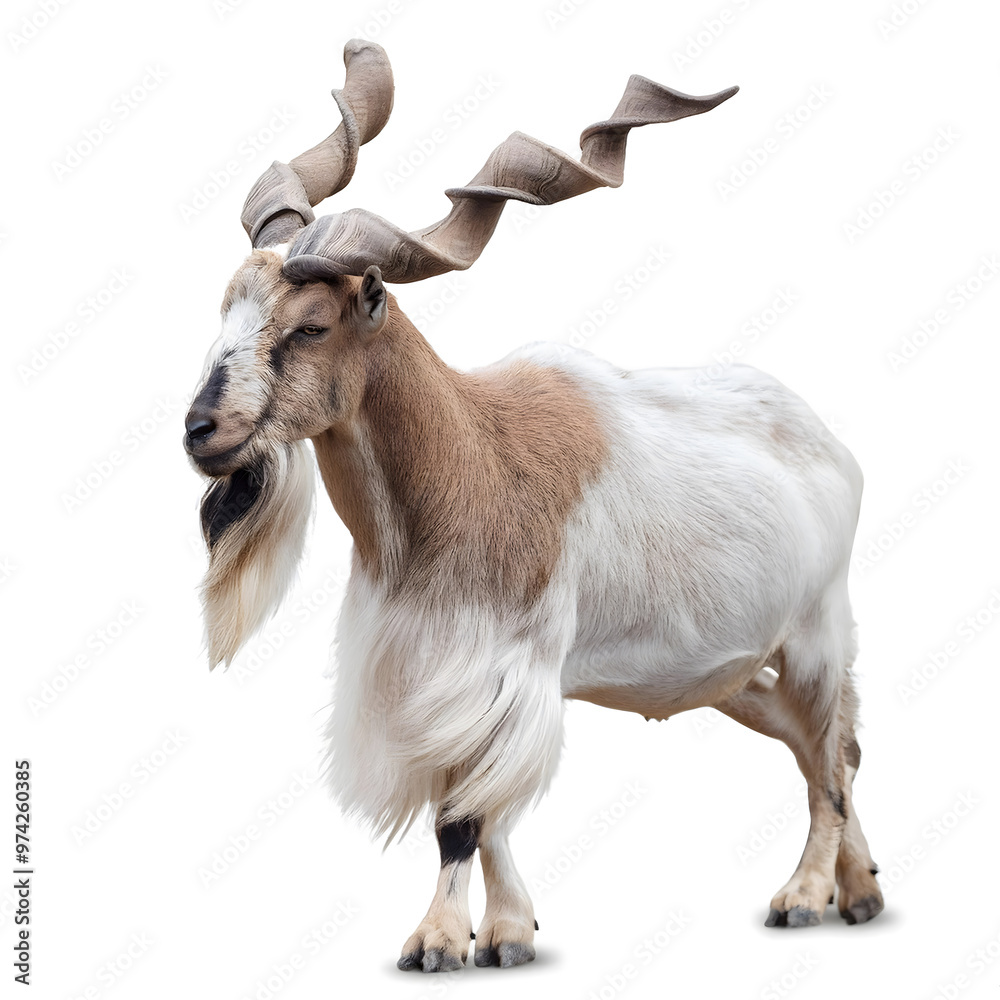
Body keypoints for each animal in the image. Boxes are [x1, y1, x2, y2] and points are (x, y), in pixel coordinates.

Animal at [184, 40, 883, 973]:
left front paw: (439, 942)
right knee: (825, 747)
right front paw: (509, 932)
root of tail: (831, 445)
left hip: (815, 634)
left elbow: (462, 819)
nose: (200, 430)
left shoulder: (503, 670)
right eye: (227, 309)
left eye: (311, 325)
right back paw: (862, 889)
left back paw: (804, 896)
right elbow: (484, 818)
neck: (470, 463)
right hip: (740, 672)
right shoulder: (440, 676)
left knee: (831, 762)